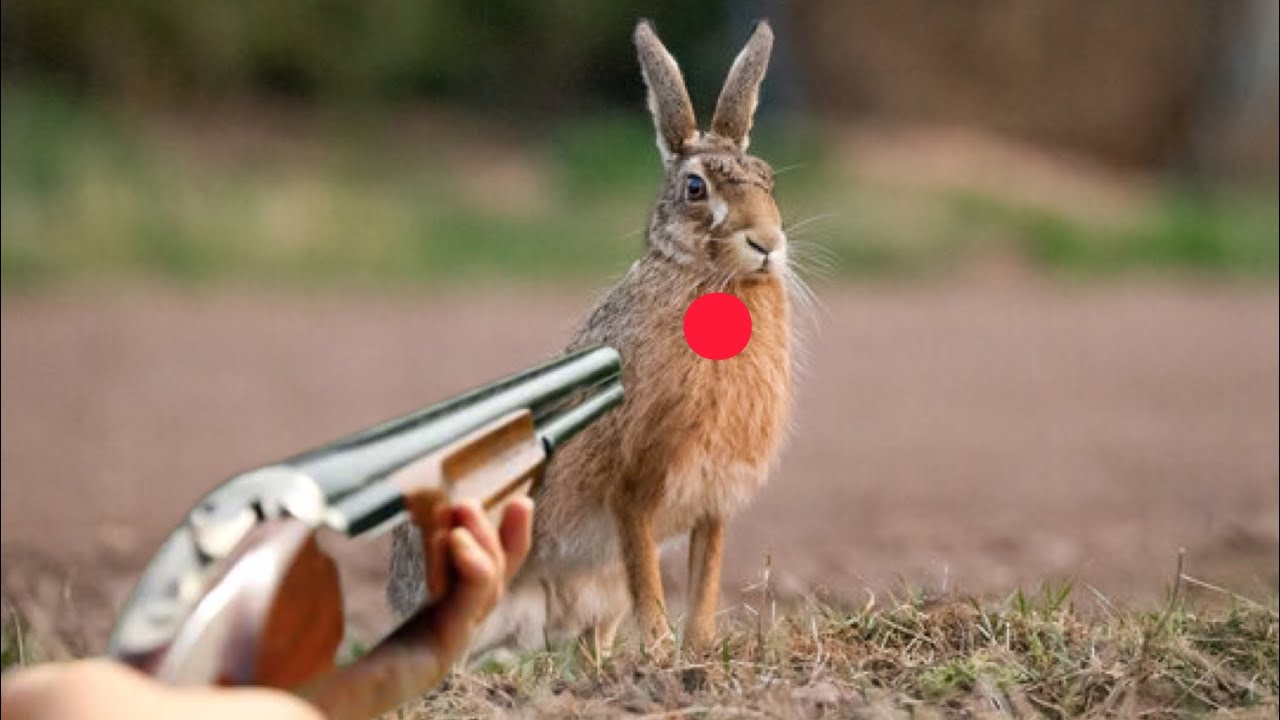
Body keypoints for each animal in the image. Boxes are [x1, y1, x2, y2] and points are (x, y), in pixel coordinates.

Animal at [388, 18, 794, 658]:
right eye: (695, 189)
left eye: (769, 182)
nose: (767, 243)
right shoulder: (632, 487)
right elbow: (646, 569)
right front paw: (659, 651)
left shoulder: (714, 501)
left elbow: (704, 578)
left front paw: (697, 651)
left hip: (595, 597)